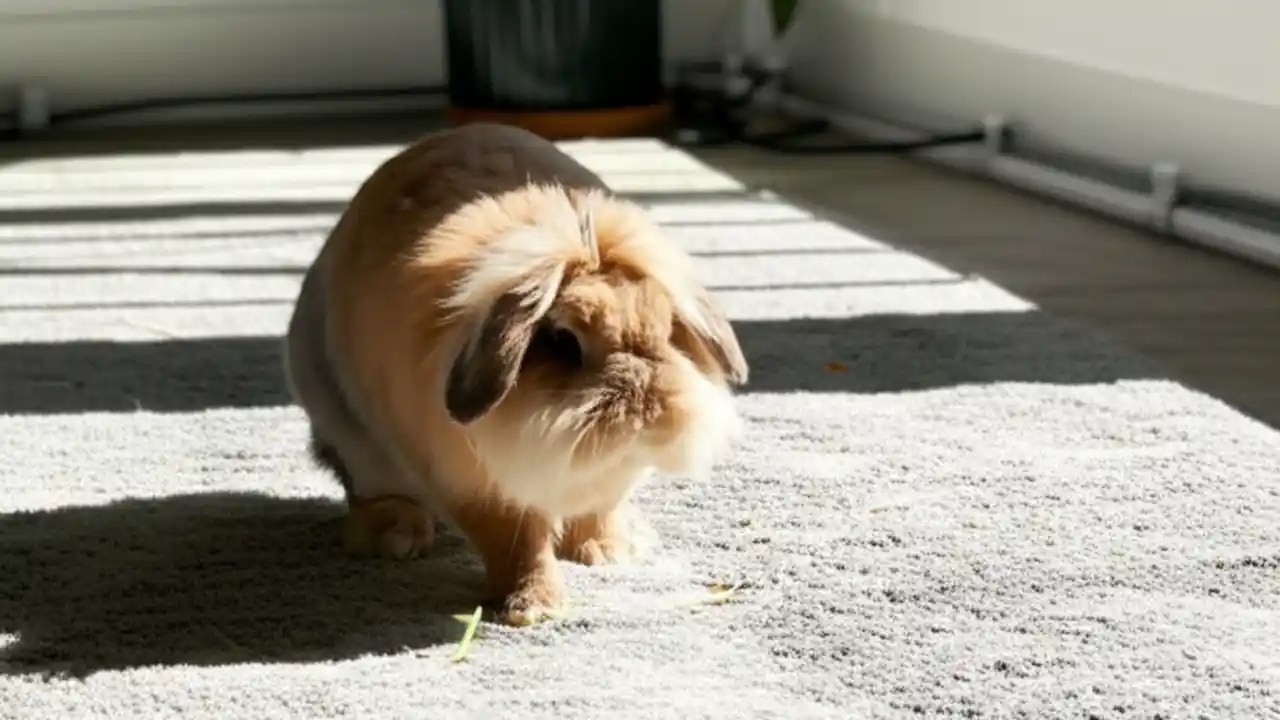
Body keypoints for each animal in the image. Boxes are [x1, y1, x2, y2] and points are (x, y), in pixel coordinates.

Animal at [283, 122, 748, 626]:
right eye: (563, 340)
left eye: (667, 331)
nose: (649, 414)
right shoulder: (477, 487)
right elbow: (516, 544)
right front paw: (534, 609)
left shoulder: (608, 480)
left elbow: (597, 510)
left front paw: (609, 552)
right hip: (354, 439)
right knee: (363, 490)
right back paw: (396, 534)